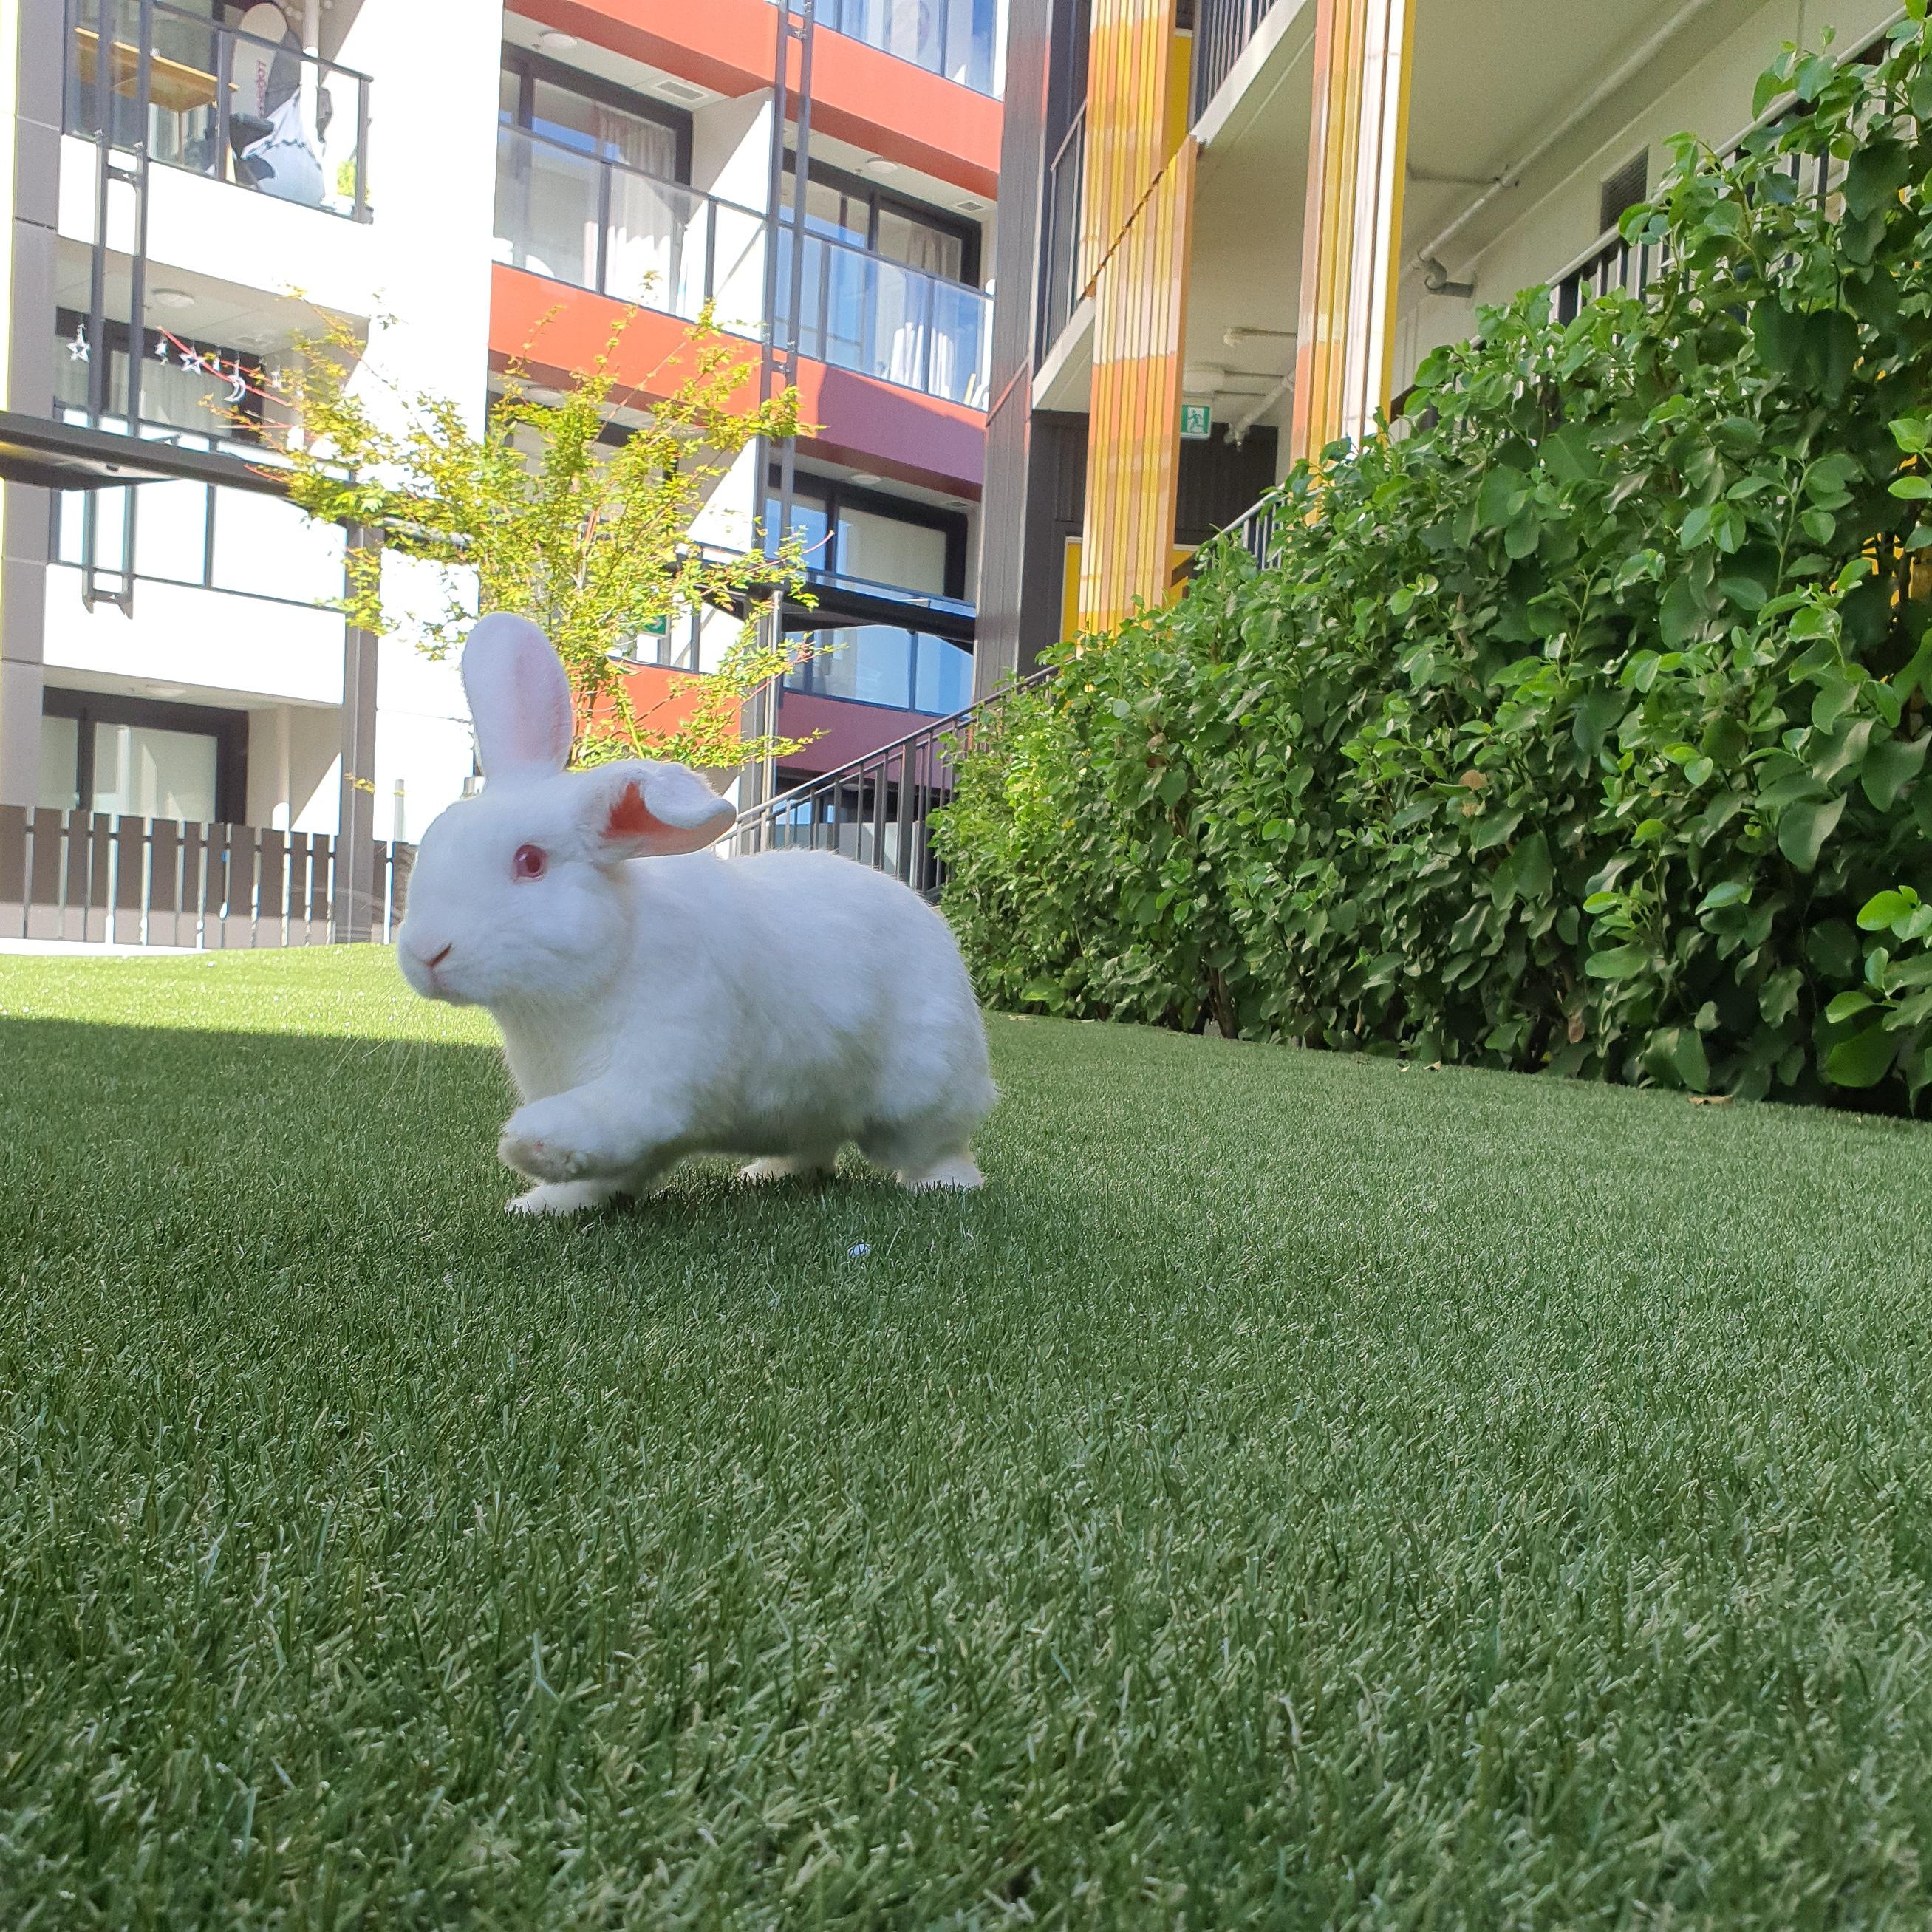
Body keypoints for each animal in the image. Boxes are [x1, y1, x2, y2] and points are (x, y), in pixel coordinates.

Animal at [396, 614, 997, 1217]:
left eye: (531, 862)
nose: (426, 953)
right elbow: (598, 1175)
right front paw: (542, 1204)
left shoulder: (657, 1077)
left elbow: (602, 1123)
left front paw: (527, 1142)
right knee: (813, 1147)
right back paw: (767, 1174)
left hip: (925, 1091)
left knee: (934, 1148)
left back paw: (945, 1184)